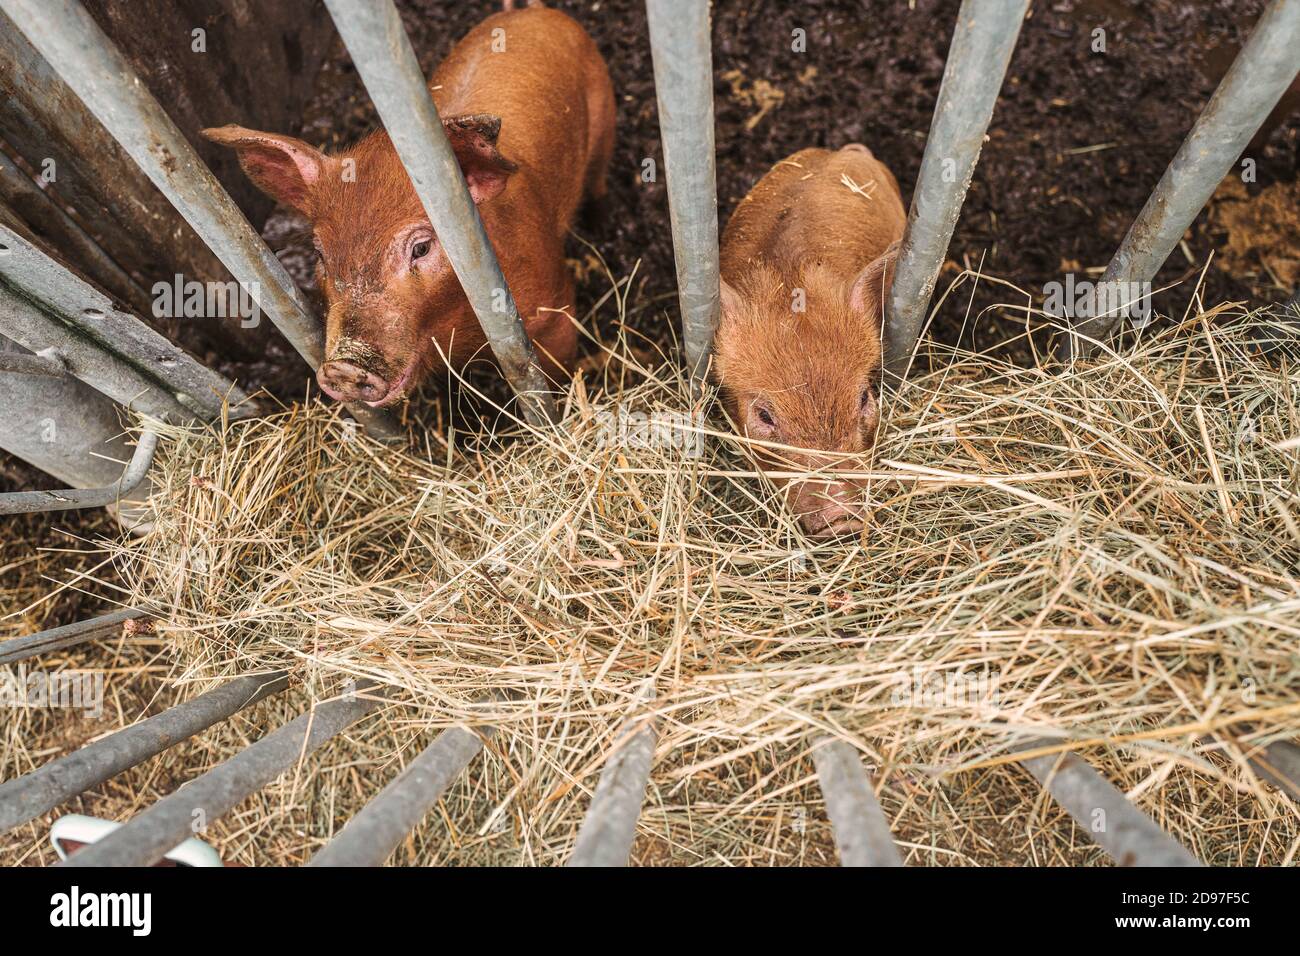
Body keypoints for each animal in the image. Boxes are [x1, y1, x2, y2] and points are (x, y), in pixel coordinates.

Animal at [203, 0, 614, 407]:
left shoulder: (556, 309)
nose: (346, 367)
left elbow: (554, 376)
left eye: (421, 248)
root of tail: (533, 11)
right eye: (320, 254)